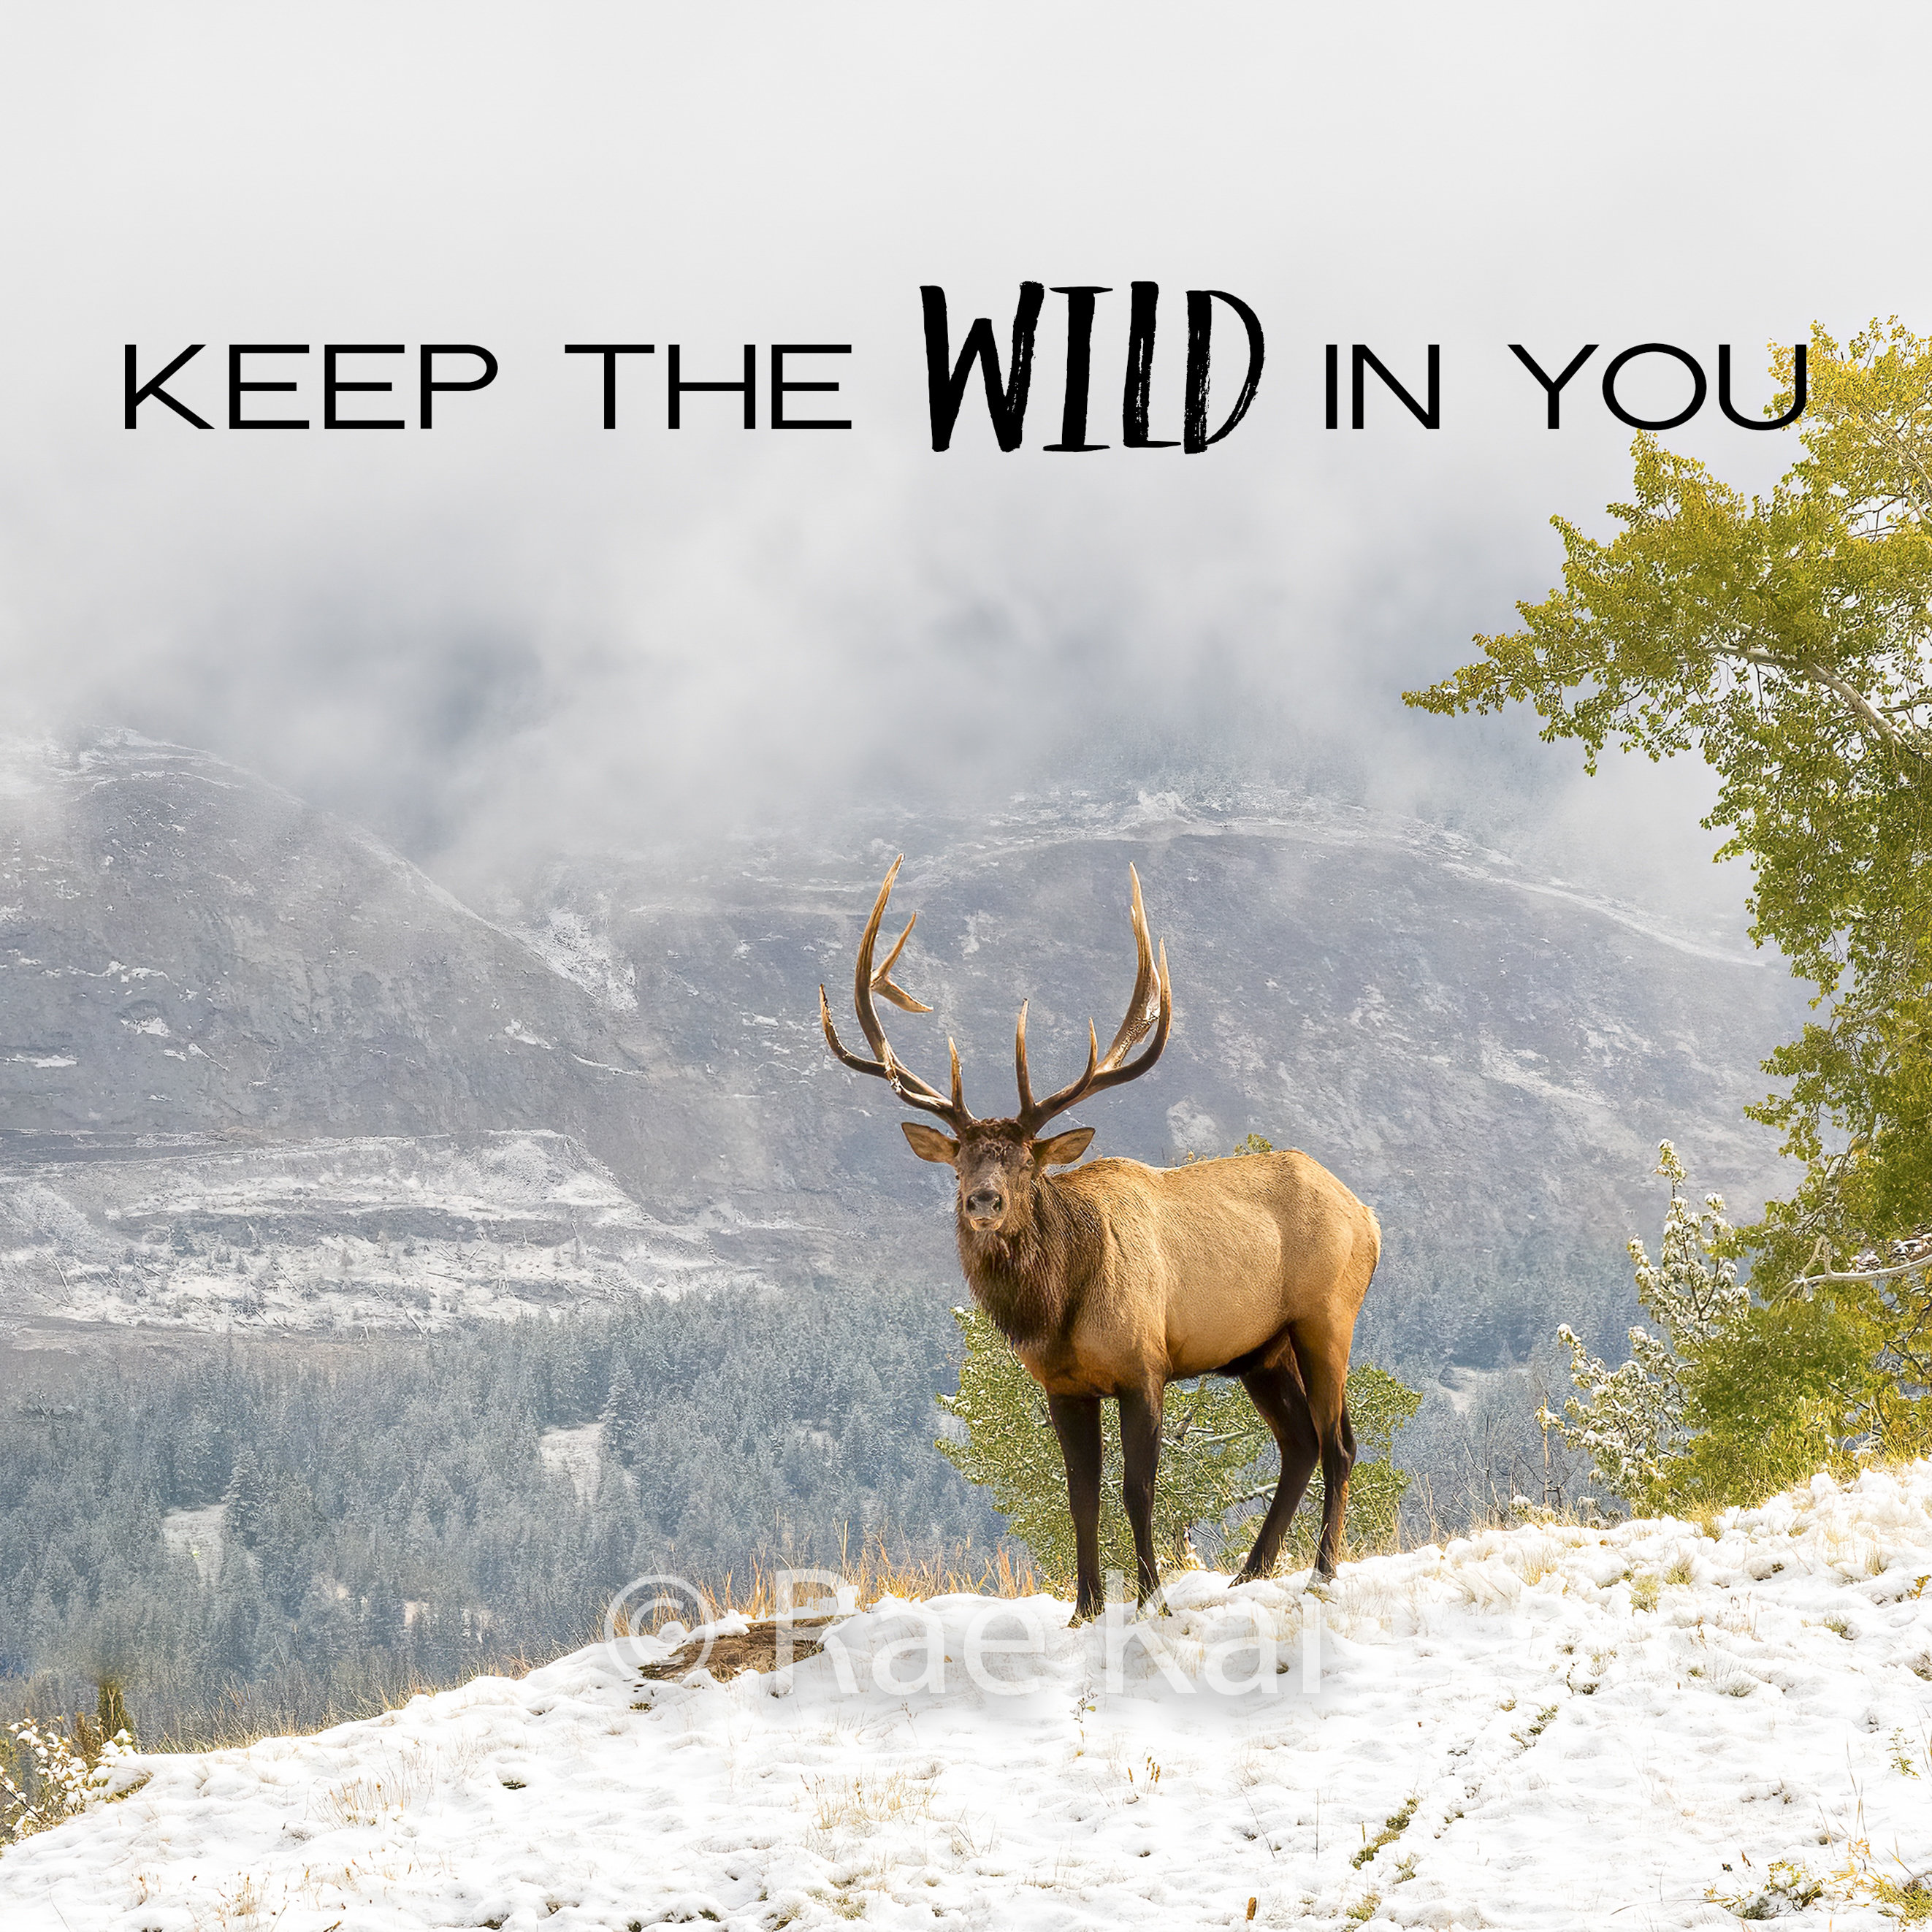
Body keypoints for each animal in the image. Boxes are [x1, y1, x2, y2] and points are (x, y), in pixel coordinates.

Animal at [818, 856, 1382, 1621]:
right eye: (961, 1161)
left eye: (1025, 1162)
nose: (982, 1200)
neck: (1059, 1312)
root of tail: (1370, 1216)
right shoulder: (1063, 1386)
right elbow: (1079, 1496)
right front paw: (1084, 1606)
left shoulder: (1145, 1366)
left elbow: (1136, 1489)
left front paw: (1151, 1598)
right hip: (1258, 1350)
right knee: (1297, 1442)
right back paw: (1248, 1573)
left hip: (1325, 1316)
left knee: (1338, 1442)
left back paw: (1321, 1570)